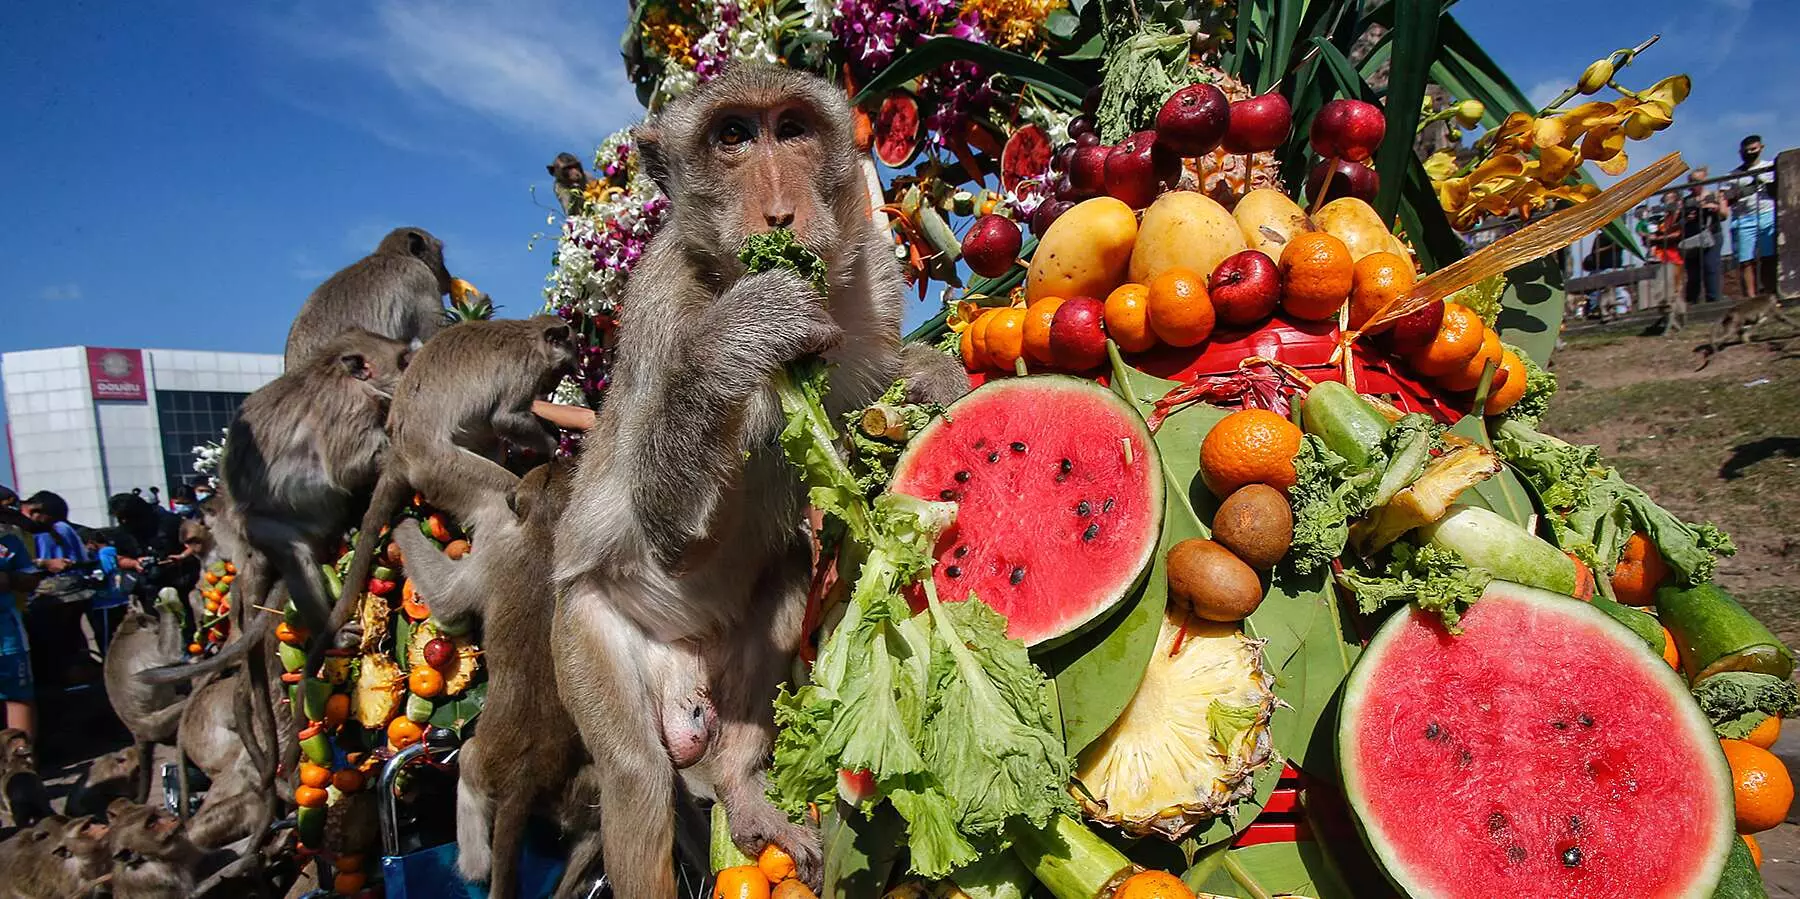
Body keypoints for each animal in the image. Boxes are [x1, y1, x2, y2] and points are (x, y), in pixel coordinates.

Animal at [327, 318, 572, 662]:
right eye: (558, 370)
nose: (552, 386)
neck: (529, 333)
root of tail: (400, 452)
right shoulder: (527, 366)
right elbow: (506, 419)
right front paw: (551, 445)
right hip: (439, 467)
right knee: (497, 491)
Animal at [550, 65, 964, 899]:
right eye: (733, 136)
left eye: (792, 129)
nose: (779, 210)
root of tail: (682, 657)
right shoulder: (660, 309)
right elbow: (666, 533)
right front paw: (741, 338)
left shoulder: (874, 282)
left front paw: (929, 378)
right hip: (585, 632)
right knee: (637, 774)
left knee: (786, 579)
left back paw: (743, 790)